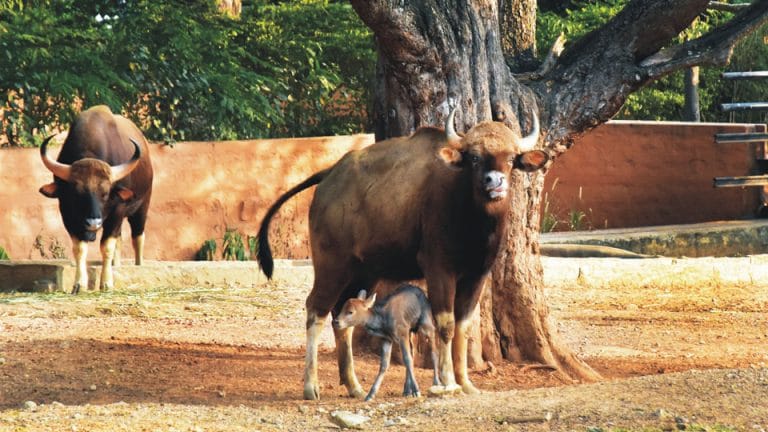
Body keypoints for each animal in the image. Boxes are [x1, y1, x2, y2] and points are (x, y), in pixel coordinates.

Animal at [39, 105, 153, 294]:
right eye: (76, 193)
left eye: (105, 193)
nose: (93, 223)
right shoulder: (68, 214)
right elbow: (79, 248)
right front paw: (79, 283)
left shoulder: (117, 211)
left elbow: (106, 246)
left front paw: (106, 283)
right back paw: (116, 265)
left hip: (142, 206)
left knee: (138, 237)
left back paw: (139, 264)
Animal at [256, 106, 548, 400]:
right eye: (475, 158)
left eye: (511, 158)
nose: (495, 182)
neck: (472, 217)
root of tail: (329, 175)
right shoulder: (438, 269)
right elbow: (445, 325)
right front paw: (447, 381)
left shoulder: (478, 274)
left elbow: (463, 327)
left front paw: (466, 383)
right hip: (331, 264)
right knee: (316, 310)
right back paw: (311, 386)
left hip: (364, 271)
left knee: (344, 312)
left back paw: (354, 386)